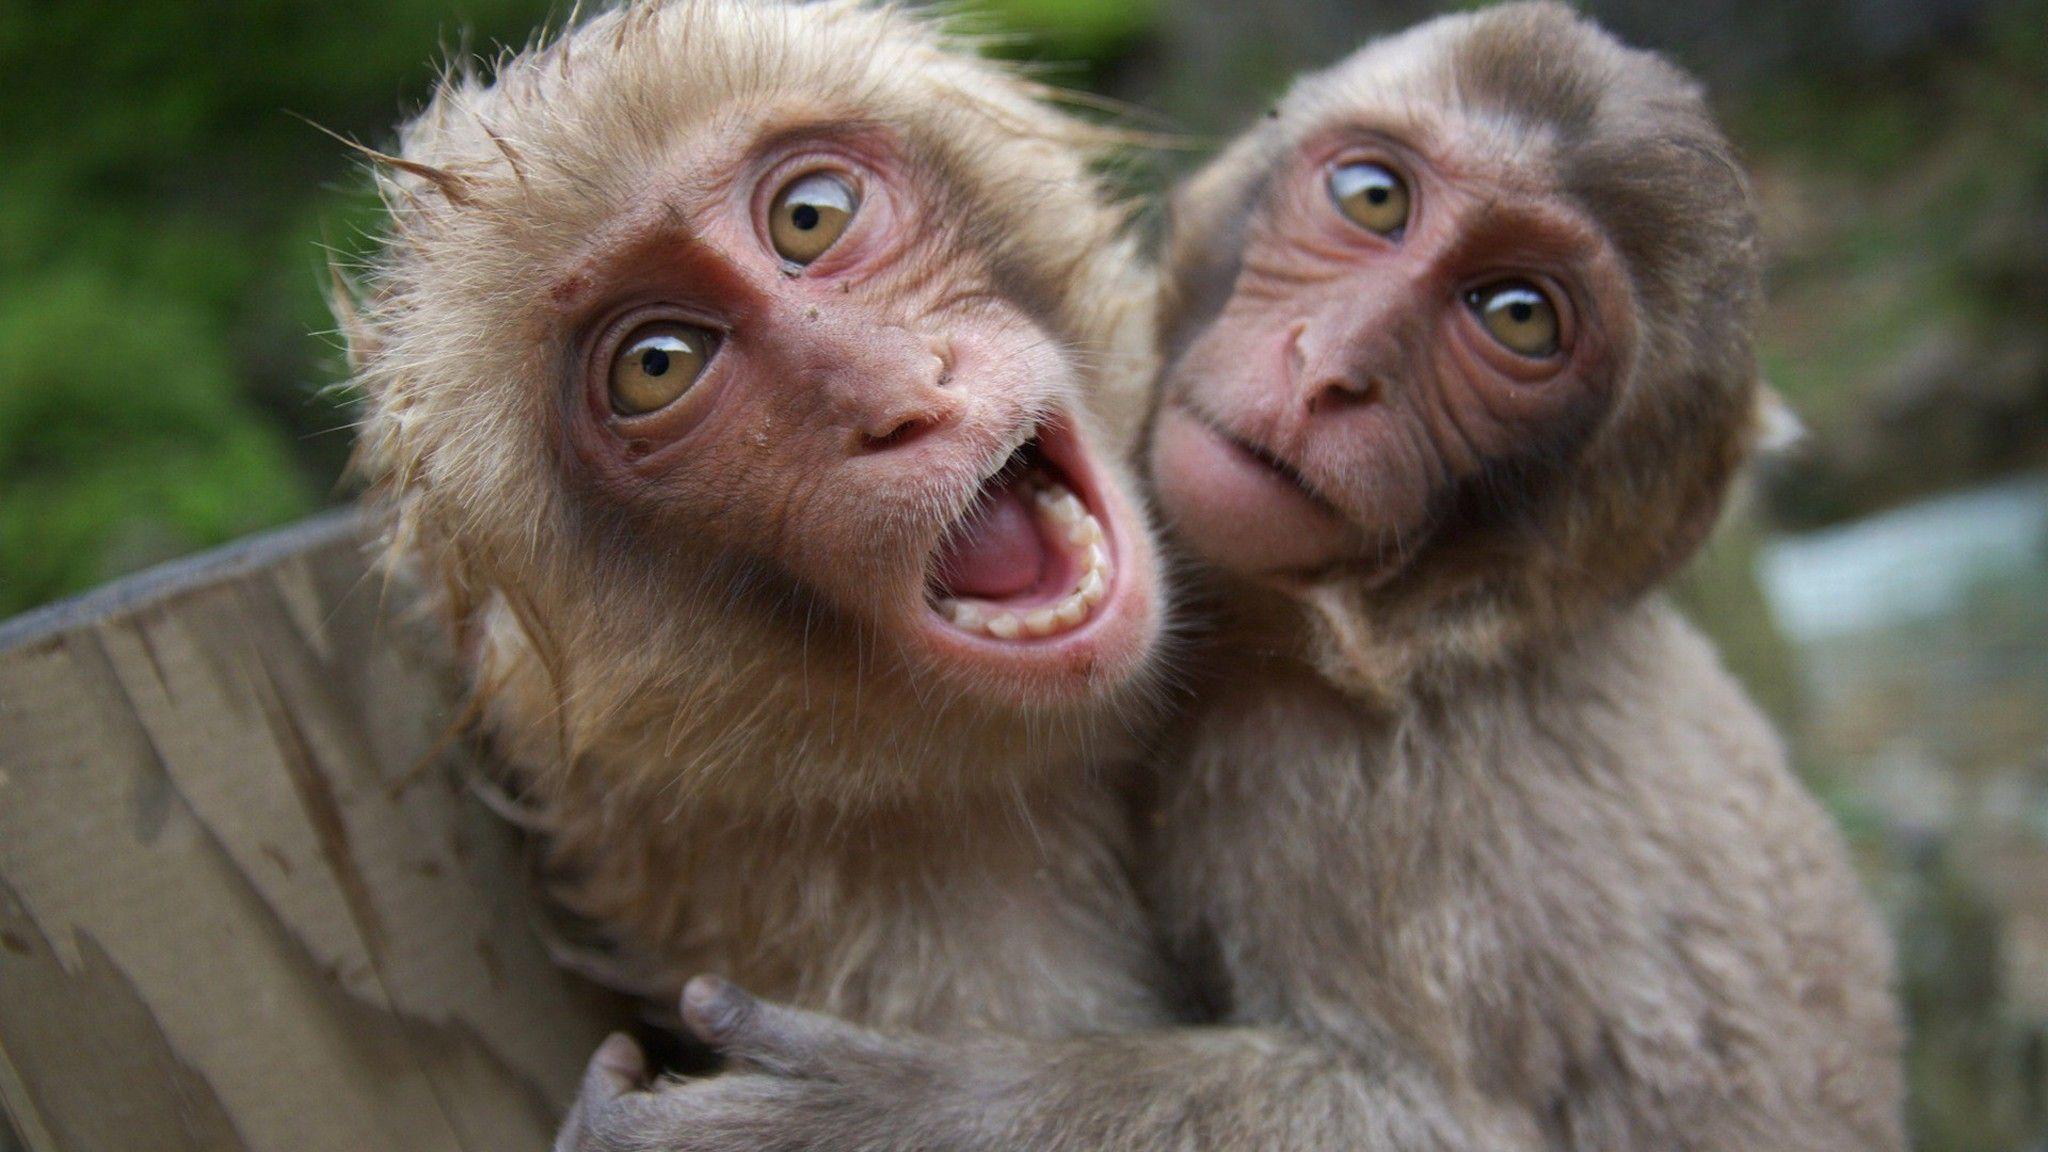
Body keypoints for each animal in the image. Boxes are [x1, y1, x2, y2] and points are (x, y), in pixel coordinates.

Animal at [553, 5, 1906, 1151]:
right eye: (1372, 197)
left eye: (1518, 315)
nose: (1329, 366)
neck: (1397, 635)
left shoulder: (1335, 782)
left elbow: (1424, 1117)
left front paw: (880, 1115)